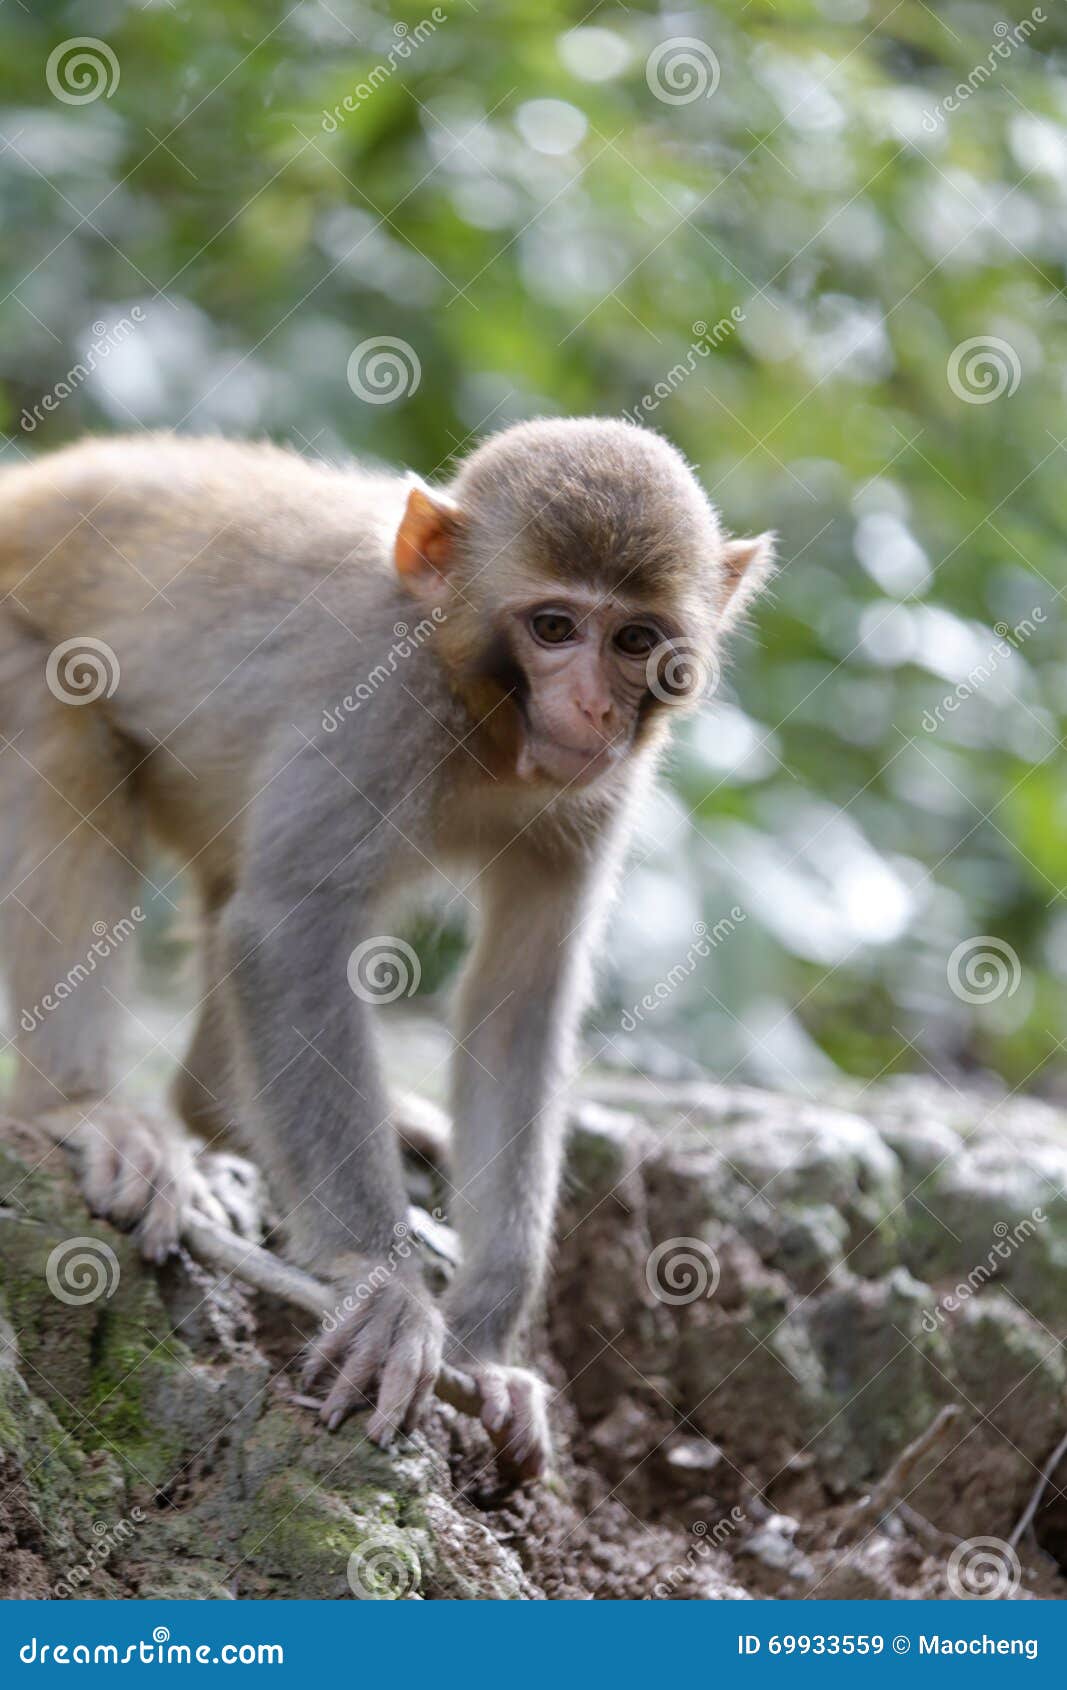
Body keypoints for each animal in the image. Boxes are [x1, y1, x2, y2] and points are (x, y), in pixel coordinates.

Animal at [0, 418, 772, 1476]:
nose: (593, 711)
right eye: (553, 628)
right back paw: (78, 1107)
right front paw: (382, 1286)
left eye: (635, 640)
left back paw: (215, 1108)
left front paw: (484, 1342)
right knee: (65, 734)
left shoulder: (601, 788)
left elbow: (516, 1006)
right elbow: (291, 929)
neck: (479, 710)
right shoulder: (384, 705)